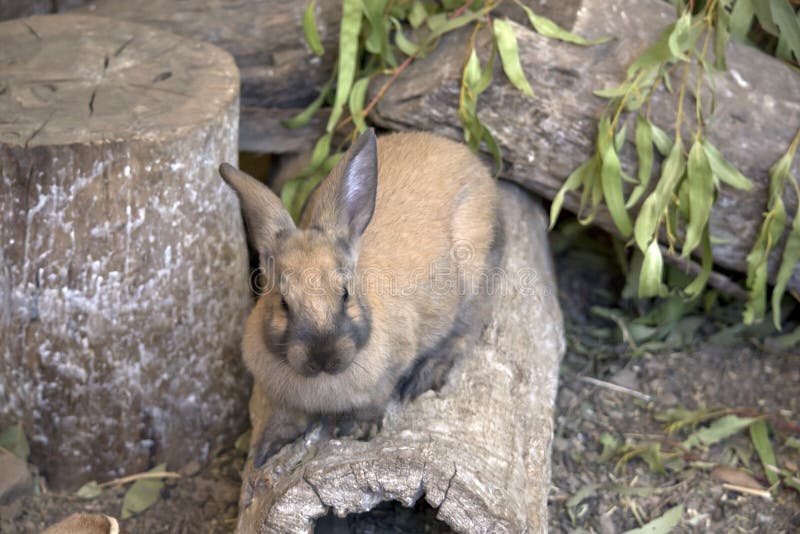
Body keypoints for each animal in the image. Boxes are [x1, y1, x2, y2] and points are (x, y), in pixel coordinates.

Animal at [219, 128, 502, 467]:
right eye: (283, 302)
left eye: (344, 293)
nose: (323, 357)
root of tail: (470, 161)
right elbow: (284, 418)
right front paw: (266, 449)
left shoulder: (392, 364)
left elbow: (376, 399)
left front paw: (356, 429)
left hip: (474, 281)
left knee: (466, 330)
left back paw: (425, 374)